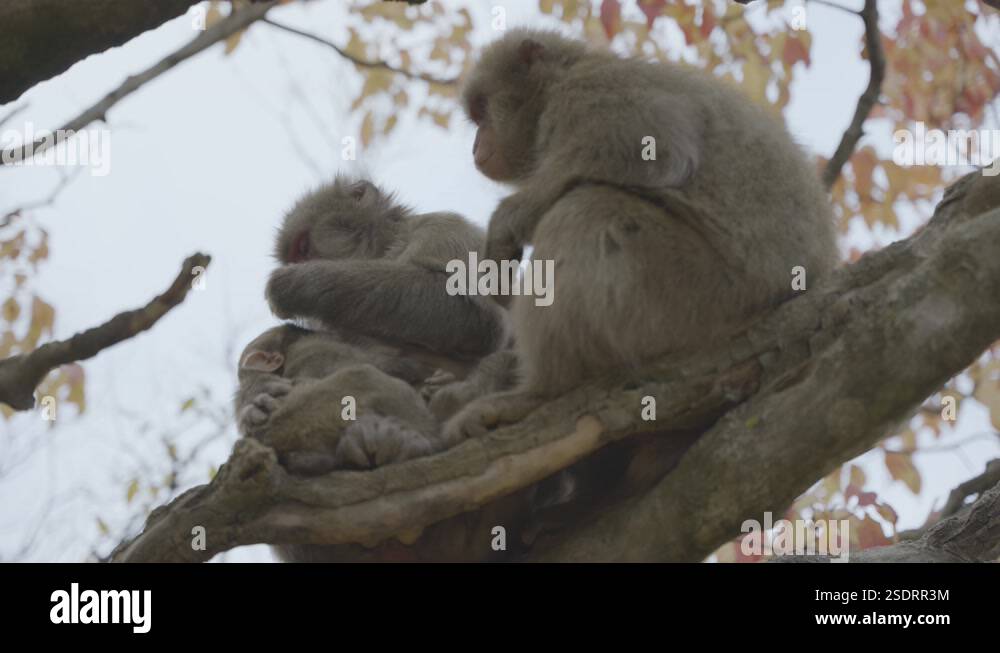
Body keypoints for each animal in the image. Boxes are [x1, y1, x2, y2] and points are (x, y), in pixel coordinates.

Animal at [445, 28, 837, 440]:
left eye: (481, 111)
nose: (476, 145)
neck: (559, 83)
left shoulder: (590, 91)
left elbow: (648, 146)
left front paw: (507, 220)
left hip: (701, 296)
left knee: (585, 210)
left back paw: (539, 392)